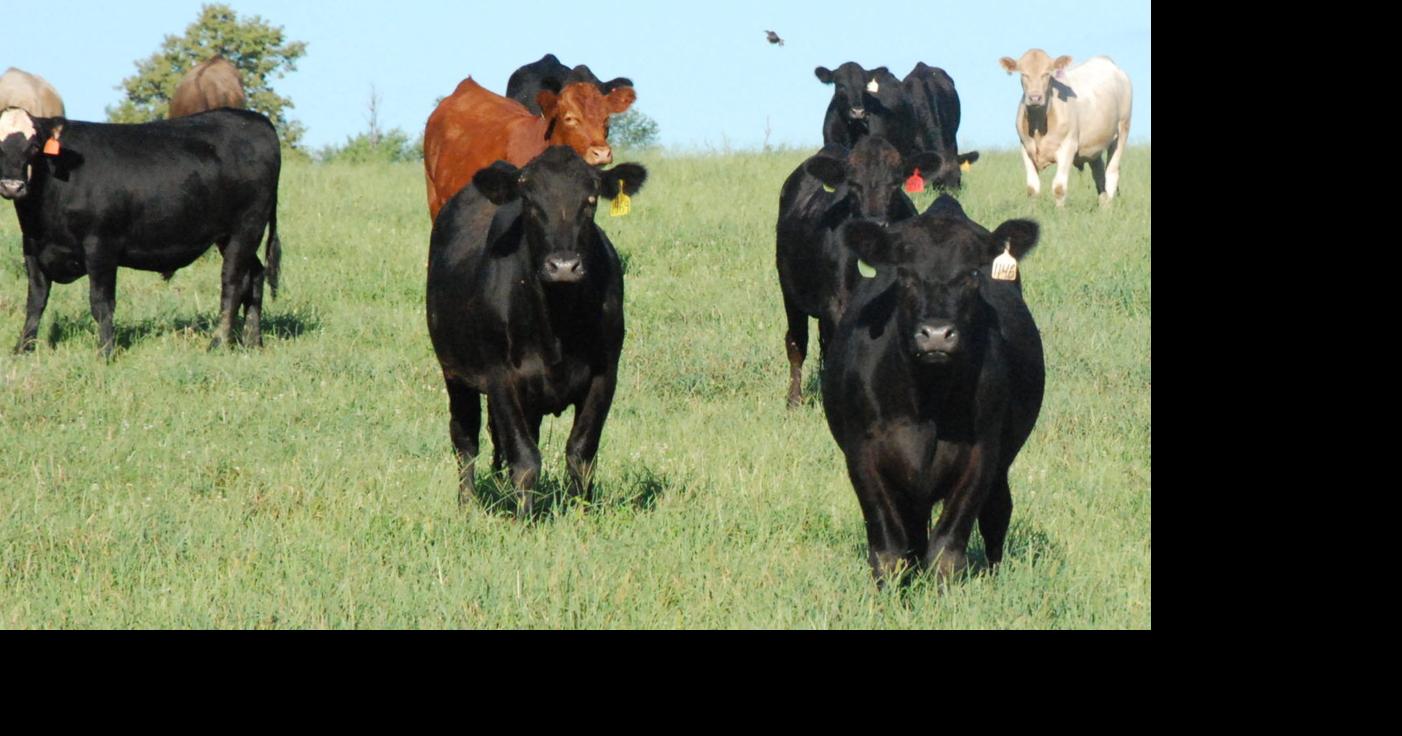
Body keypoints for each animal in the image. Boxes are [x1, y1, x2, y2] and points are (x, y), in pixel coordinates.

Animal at [1, 107, 281, 359]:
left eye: (34, 146)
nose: (13, 186)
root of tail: (257, 119)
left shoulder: (101, 246)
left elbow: (101, 303)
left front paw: (105, 353)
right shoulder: (33, 247)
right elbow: (35, 301)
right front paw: (22, 349)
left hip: (247, 227)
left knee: (233, 284)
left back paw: (218, 343)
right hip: (230, 236)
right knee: (255, 275)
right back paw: (253, 342)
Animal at [426, 146, 646, 516]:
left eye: (590, 200)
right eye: (529, 201)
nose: (564, 266)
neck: (557, 324)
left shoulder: (605, 374)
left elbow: (581, 452)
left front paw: (582, 514)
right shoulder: (500, 376)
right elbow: (525, 458)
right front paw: (525, 519)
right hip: (454, 372)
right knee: (465, 438)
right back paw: (467, 505)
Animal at [775, 136, 941, 407]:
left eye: (896, 182)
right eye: (853, 184)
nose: (873, 224)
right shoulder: (838, 301)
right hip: (790, 292)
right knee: (797, 343)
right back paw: (794, 400)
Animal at [820, 194, 1045, 585]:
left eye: (972, 274)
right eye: (905, 274)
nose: (937, 334)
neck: (926, 401)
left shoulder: (981, 454)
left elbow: (947, 551)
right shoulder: (862, 453)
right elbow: (890, 550)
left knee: (997, 512)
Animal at [999, 50, 1132, 206]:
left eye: (1047, 73)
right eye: (1023, 73)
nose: (1035, 97)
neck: (1039, 124)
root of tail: (1105, 60)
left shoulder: (1068, 146)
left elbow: (1059, 188)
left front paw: (1060, 212)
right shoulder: (1025, 148)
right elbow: (1032, 189)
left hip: (1122, 129)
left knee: (1111, 172)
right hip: (1094, 144)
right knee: (1099, 176)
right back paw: (1104, 205)